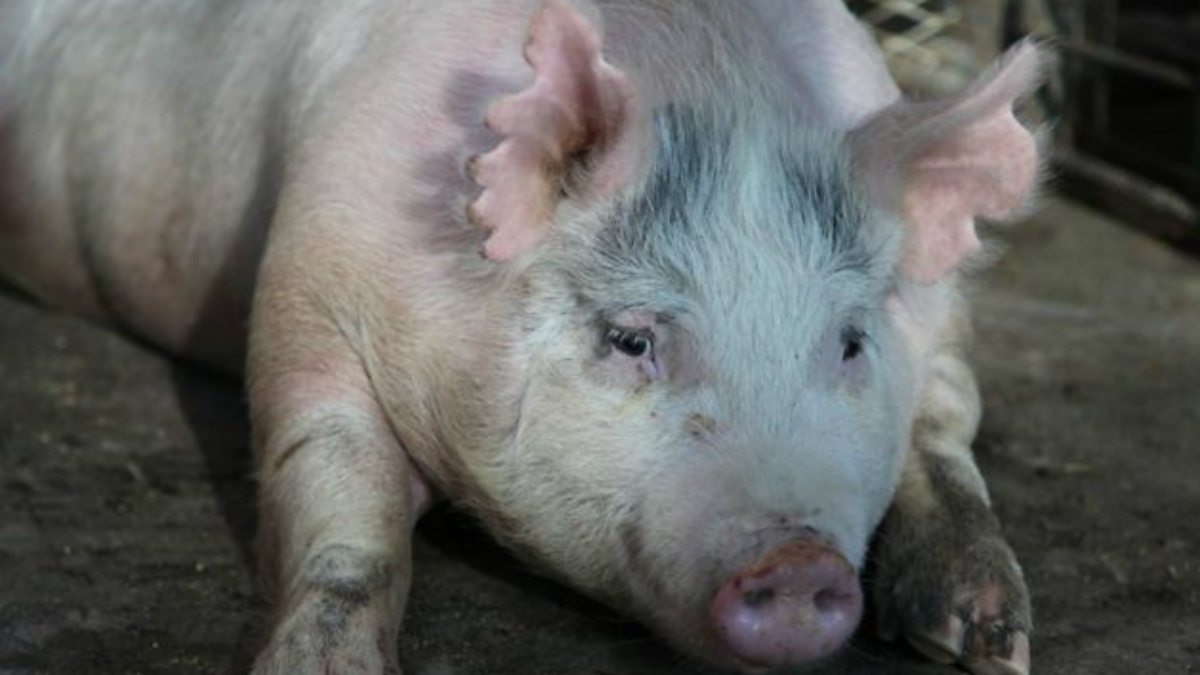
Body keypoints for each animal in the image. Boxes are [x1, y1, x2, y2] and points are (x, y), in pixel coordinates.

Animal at [0, 1, 1043, 673]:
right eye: (631, 339)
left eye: (851, 342)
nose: (796, 564)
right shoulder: (308, 278)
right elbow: (338, 494)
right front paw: (316, 667)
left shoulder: (945, 328)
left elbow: (945, 431)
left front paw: (993, 642)